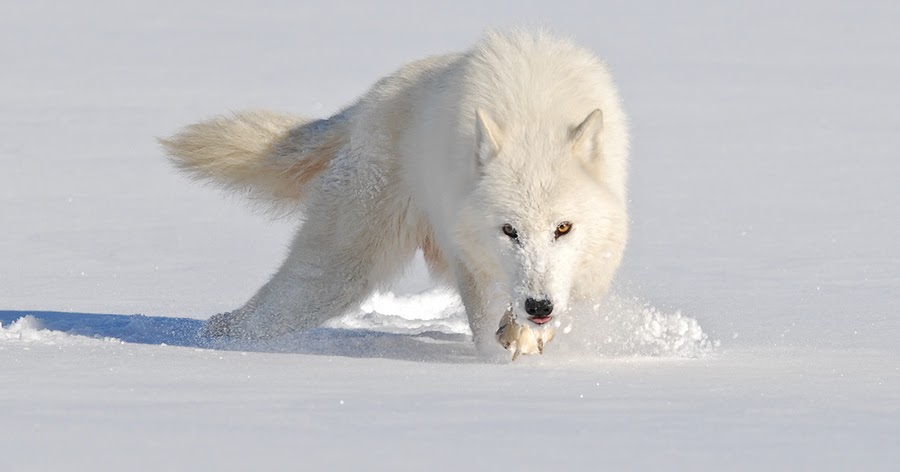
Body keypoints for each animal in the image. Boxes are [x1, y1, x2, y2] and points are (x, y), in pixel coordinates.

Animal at [160, 29, 629, 360]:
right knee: (258, 315)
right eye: (508, 230)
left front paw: (530, 338)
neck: (533, 116)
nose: (538, 305)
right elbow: (487, 323)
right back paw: (211, 340)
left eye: (563, 228)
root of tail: (364, 105)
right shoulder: (469, 257)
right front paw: (507, 349)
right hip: (339, 276)